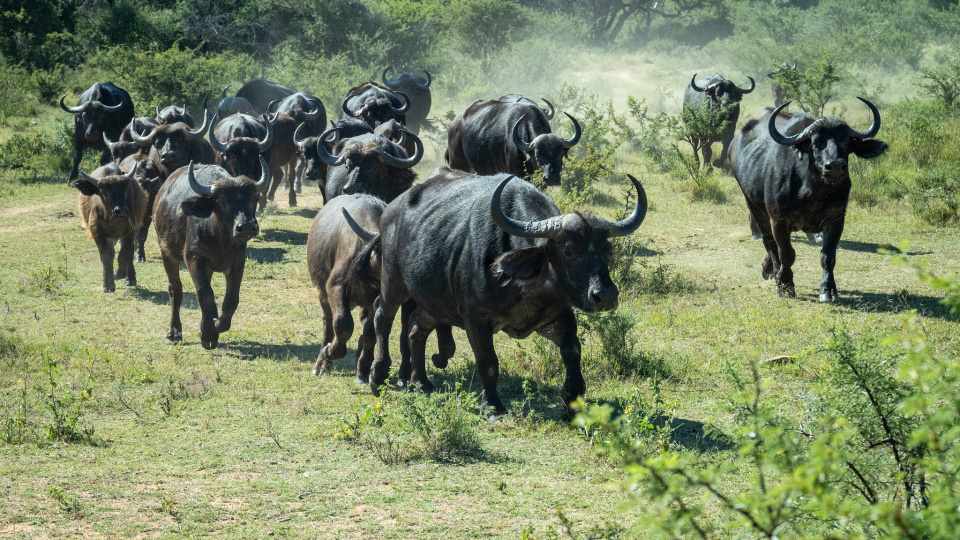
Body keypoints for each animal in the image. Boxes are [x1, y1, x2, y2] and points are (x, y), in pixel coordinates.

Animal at [70, 163, 148, 292]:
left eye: (125, 190)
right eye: (104, 191)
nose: (121, 210)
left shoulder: (130, 230)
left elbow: (125, 253)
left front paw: (118, 274)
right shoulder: (97, 230)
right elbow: (106, 255)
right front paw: (108, 283)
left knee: (129, 251)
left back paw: (130, 278)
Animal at [153, 158, 269, 348]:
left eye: (253, 199)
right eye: (222, 201)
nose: (246, 227)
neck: (221, 239)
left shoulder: (238, 260)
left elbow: (231, 299)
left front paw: (216, 326)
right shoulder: (193, 257)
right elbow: (205, 294)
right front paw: (208, 334)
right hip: (166, 251)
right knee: (175, 288)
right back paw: (174, 331)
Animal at [367, 167, 647, 413]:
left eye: (607, 250)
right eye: (569, 251)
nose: (606, 296)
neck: (521, 284)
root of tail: (390, 210)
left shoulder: (558, 315)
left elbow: (572, 352)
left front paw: (572, 399)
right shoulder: (475, 320)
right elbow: (488, 362)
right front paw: (492, 406)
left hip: (435, 302)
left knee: (416, 327)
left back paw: (421, 382)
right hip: (394, 281)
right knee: (382, 316)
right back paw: (377, 374)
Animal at [729, 98, 887, 302]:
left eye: (846, 140)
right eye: (815, 142)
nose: (835, 166)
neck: (812, 192)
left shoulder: (836, 220)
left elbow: (828, 256)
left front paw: (828, 290)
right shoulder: (778, 220)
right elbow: (787, 254)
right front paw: (785, 285)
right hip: (753, 205)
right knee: (769, 242)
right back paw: (773, 269)